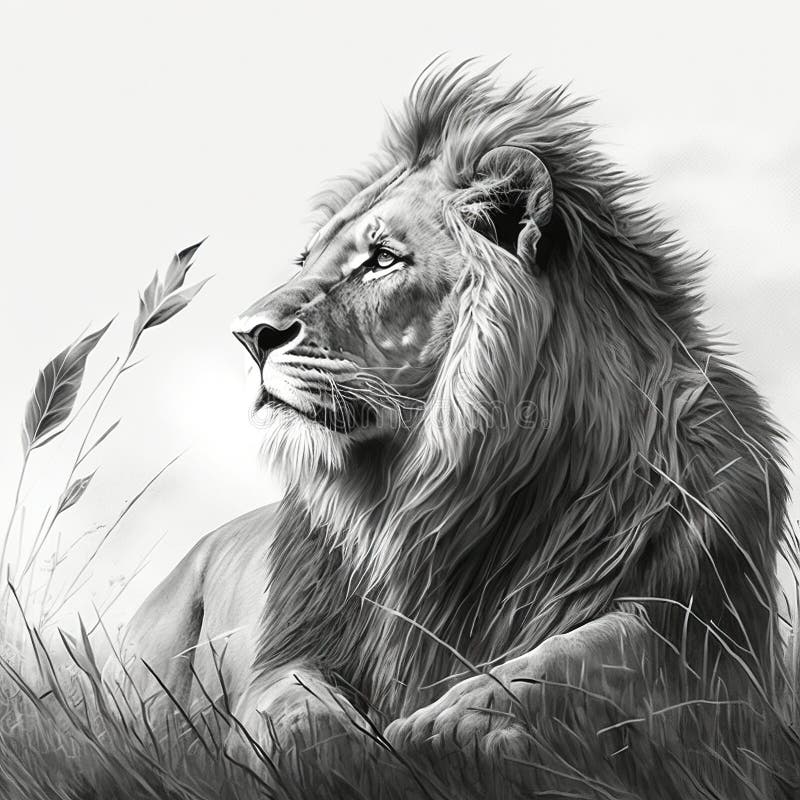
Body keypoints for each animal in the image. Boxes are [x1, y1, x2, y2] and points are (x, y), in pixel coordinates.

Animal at [110, 61, 789, 783]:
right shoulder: (290, 646)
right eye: (307, 259)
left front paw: (454, 727)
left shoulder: (707, 627)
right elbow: (293, 710)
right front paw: (340, 752)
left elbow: (586, 656)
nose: (247, 335)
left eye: (382, 259)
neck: (450, 489)